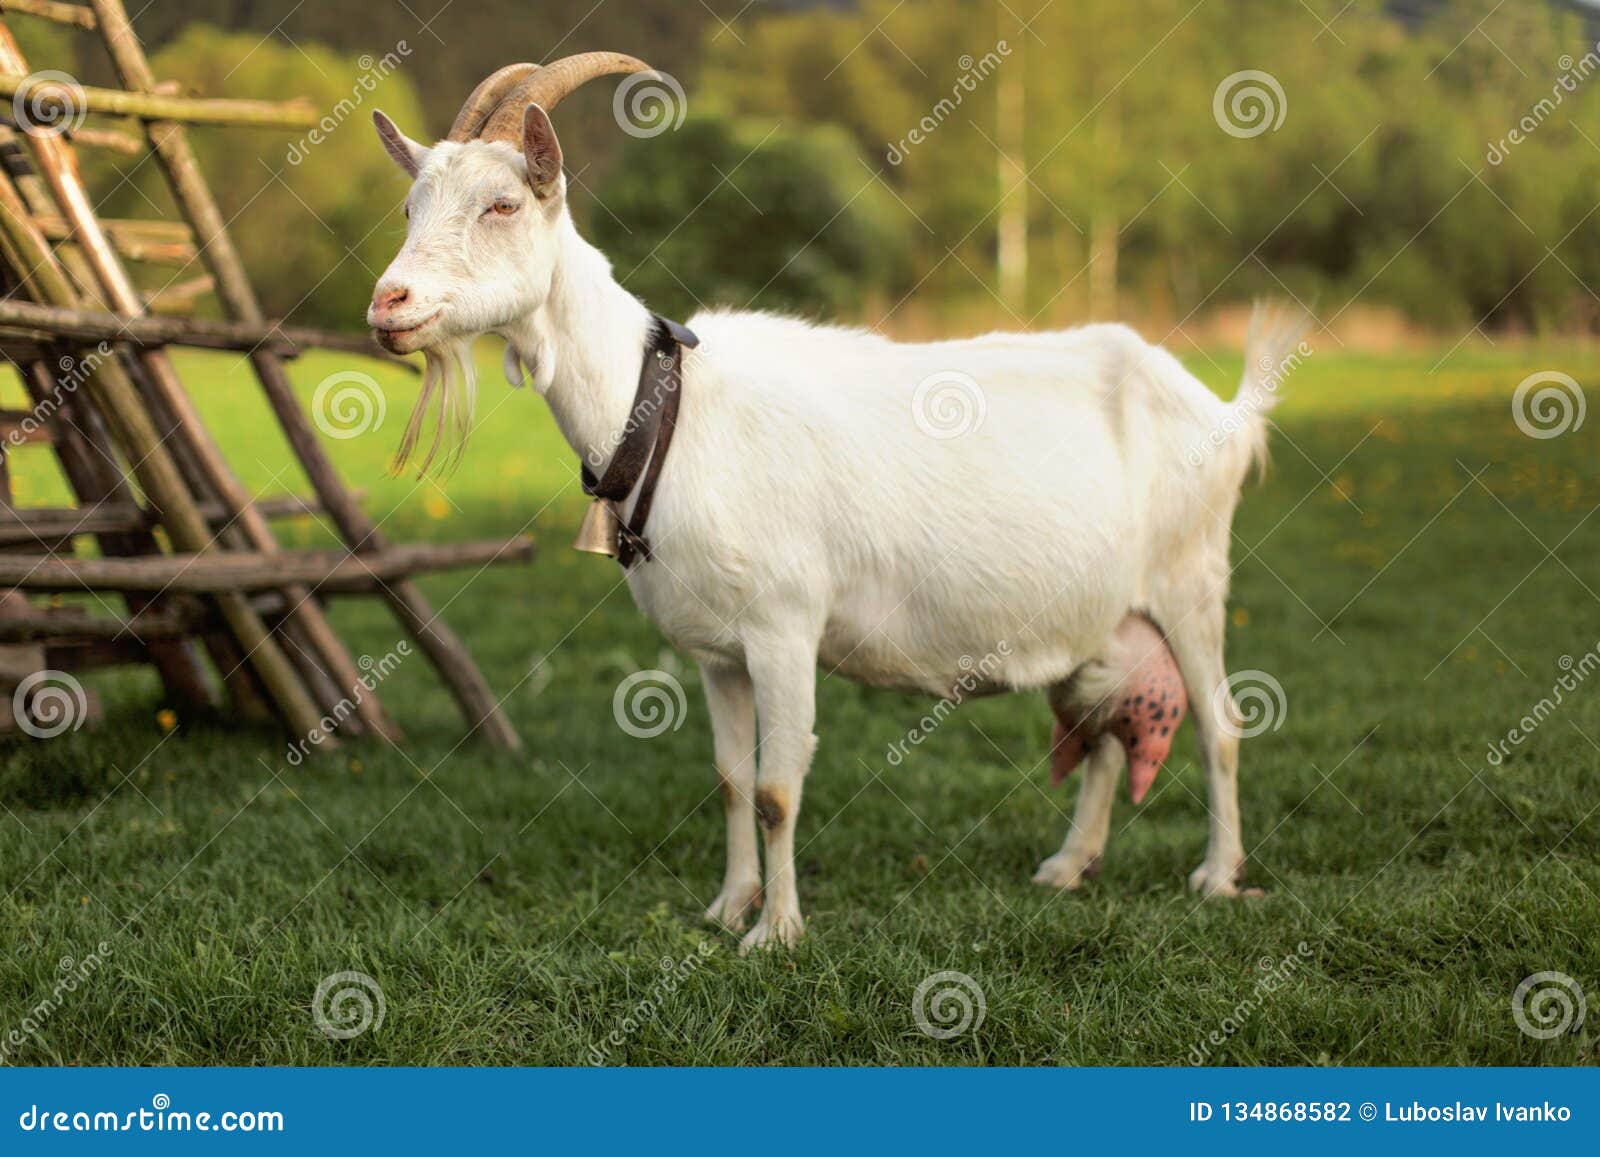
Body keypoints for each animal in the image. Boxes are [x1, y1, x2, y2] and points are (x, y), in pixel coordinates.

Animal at [367, 53, 1305, 951]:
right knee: (1107, 728)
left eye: (500, 204)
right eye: (410, 206)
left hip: (1190, 579)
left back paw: (1218, 875)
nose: (388, 303)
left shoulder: (785, 626)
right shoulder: (715, 650)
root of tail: (1220, 410)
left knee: (1221, 724)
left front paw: (777, 932)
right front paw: (727, 907)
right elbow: (730, 779)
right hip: (1103, 617)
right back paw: (1070, 865)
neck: (668, 406)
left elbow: (778, 787)